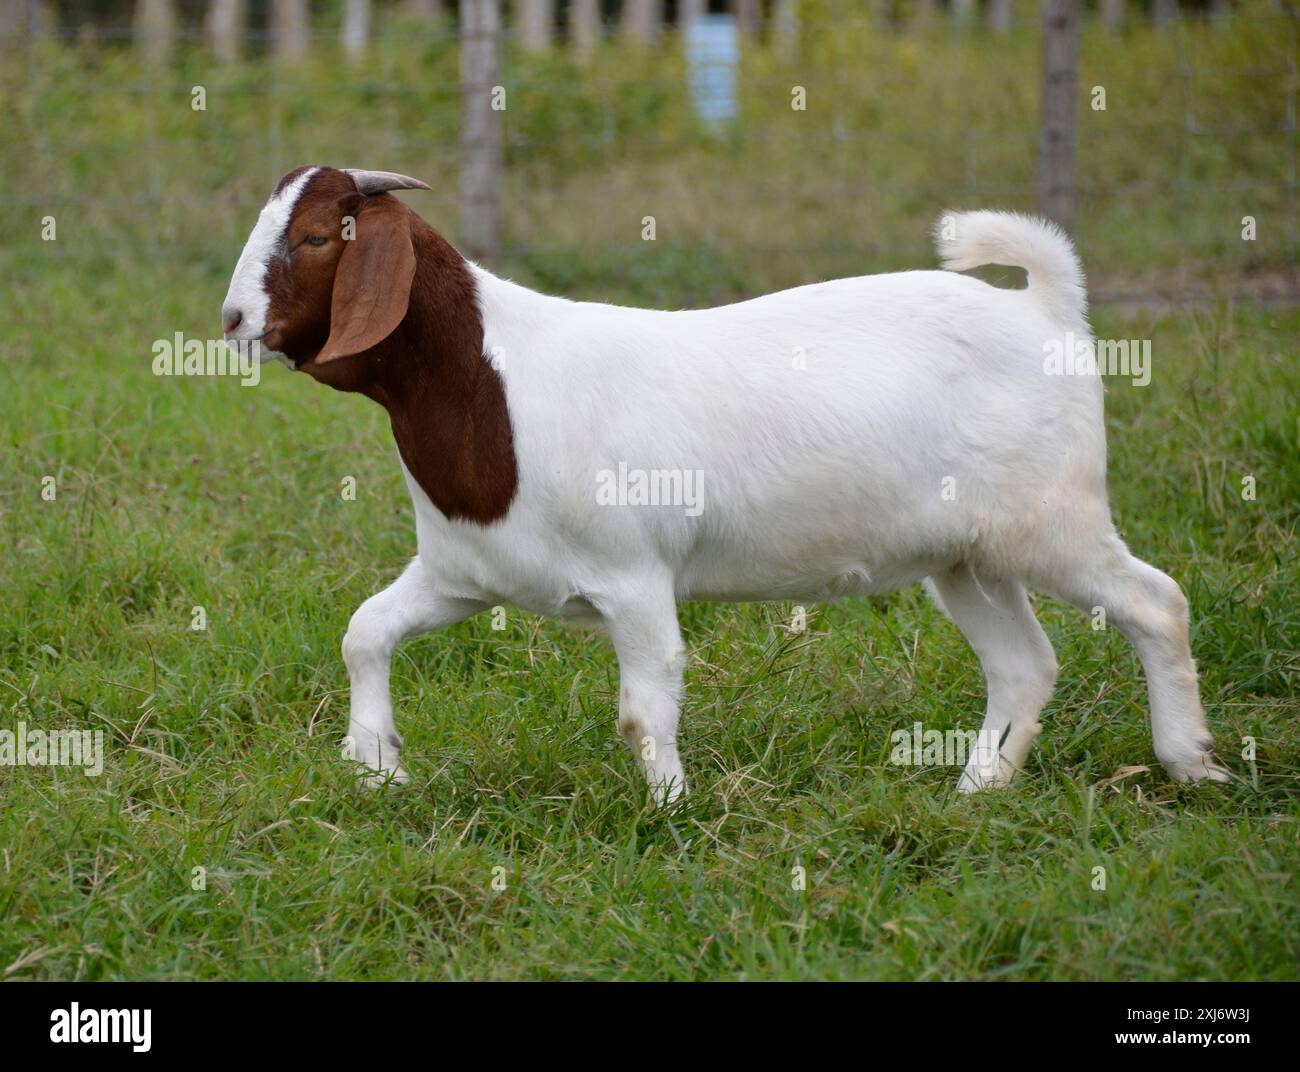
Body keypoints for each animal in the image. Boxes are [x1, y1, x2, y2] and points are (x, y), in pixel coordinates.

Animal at [221, 165, 1228, 803]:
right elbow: (364, 631)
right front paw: (376, 766)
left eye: (315, 236)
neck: (489, 381)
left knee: (1156, 601)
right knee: (1025, 664)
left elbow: (644, 707)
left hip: (1052, 519)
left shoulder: (633, 579)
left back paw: (1189, 764)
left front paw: (673, 813)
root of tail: (1046, 307)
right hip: (966, 556)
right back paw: (977, 789)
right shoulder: (466, 574)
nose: (231, 320)